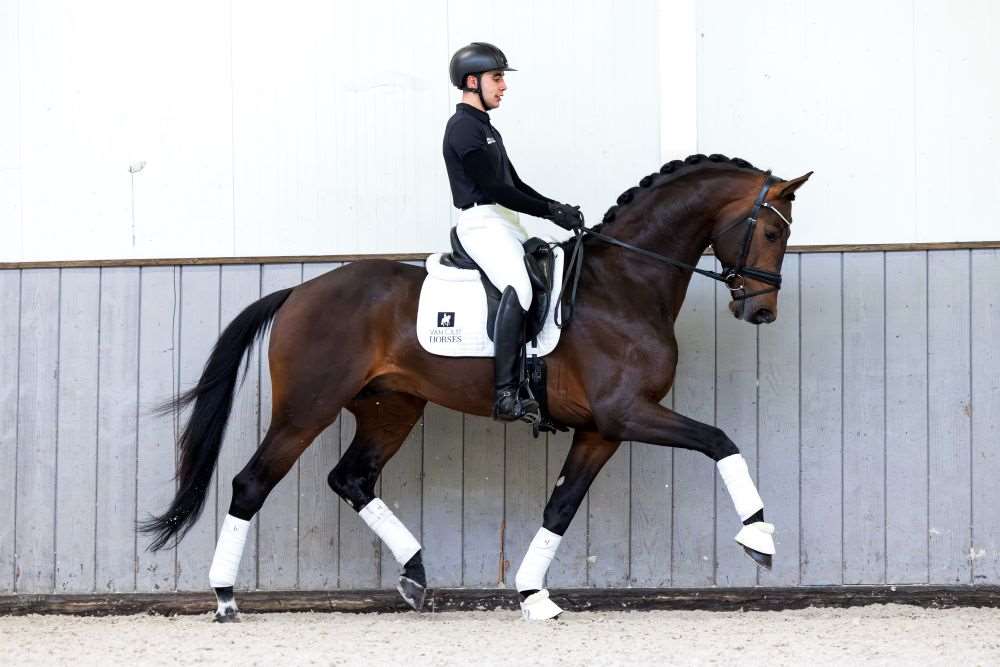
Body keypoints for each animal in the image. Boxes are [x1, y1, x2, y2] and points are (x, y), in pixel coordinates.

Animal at [140, 153, 812, 622]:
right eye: (772, 233)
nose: (761, 312)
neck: (624, 284)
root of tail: (300, 291)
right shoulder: (627, 413)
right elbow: (720, 440)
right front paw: (758, 537)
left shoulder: (601, 429)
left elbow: (560, 507)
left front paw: (534, 595)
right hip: (307, 408)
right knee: (252, 483)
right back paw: (226, 596)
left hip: (391, 408)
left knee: (352, 478)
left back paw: (414, 574)